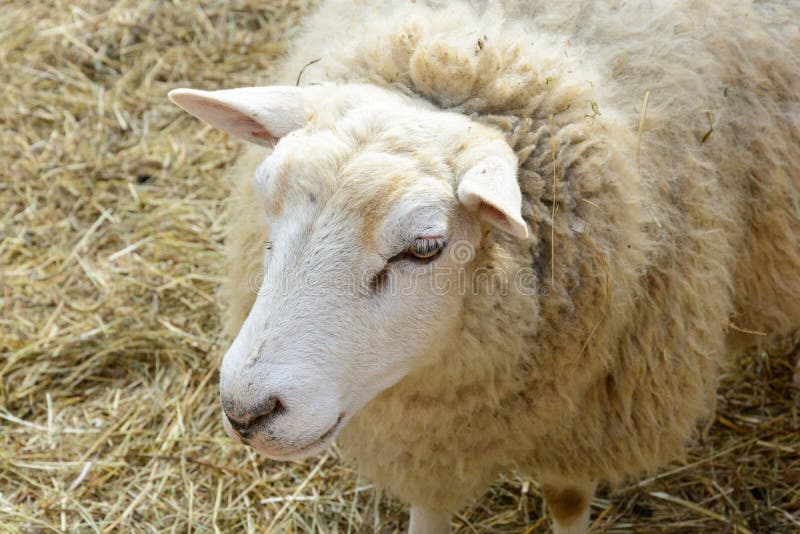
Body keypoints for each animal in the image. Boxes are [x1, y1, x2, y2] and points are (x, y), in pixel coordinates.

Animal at [168, 0, 800, 532]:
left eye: (425, 247)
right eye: (265, 194)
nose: (246, 410)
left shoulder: (584, 424)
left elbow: (566, 500)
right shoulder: (434, 440)